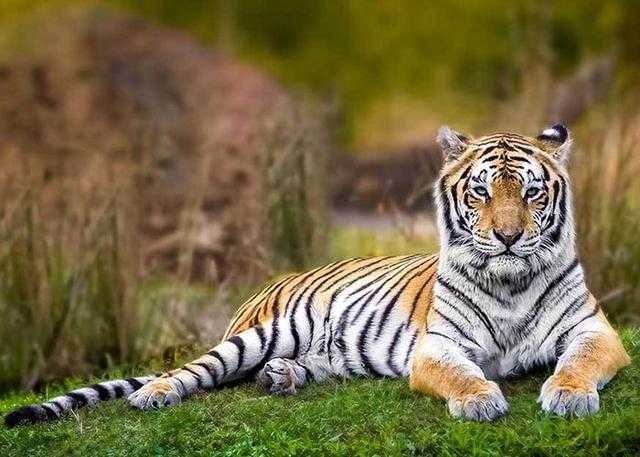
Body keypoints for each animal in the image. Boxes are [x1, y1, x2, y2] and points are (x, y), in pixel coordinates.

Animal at [5, 123, 630, 427]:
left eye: (530, 193)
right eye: (481, 192)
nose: (506, 237)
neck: (511, 282)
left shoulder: (595, 330)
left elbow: (579, 362)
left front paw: (569, 397)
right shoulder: (439, 346)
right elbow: (460, 375)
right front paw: (480, 401)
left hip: (324, 352)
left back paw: (281, 378)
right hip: (260, 334)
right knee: (195, 371)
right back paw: (154, 395)